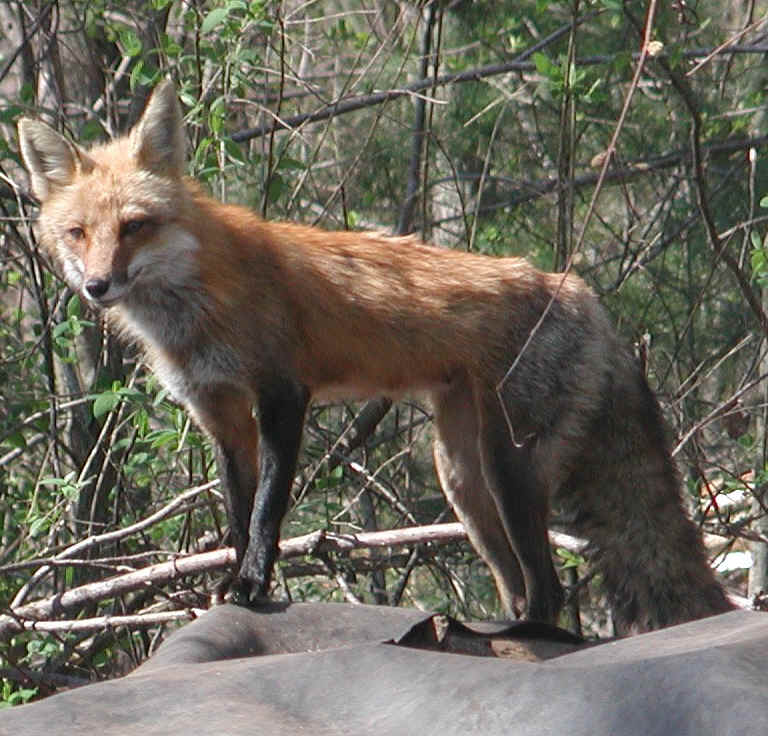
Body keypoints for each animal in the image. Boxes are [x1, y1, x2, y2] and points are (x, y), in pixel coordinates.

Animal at [17, 81, 733, 632]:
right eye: (78, 232)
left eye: (135, 227)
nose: (97, 286)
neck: (193, 303)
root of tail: (582, 291)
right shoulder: (220, 414)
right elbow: (237, 513)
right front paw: (233, 583)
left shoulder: (282, 394)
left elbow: (267, 512)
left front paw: (252, 585)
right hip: (462, 480)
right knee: (523, 585)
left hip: (511, 468)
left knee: (551, 591)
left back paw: (526, 633)